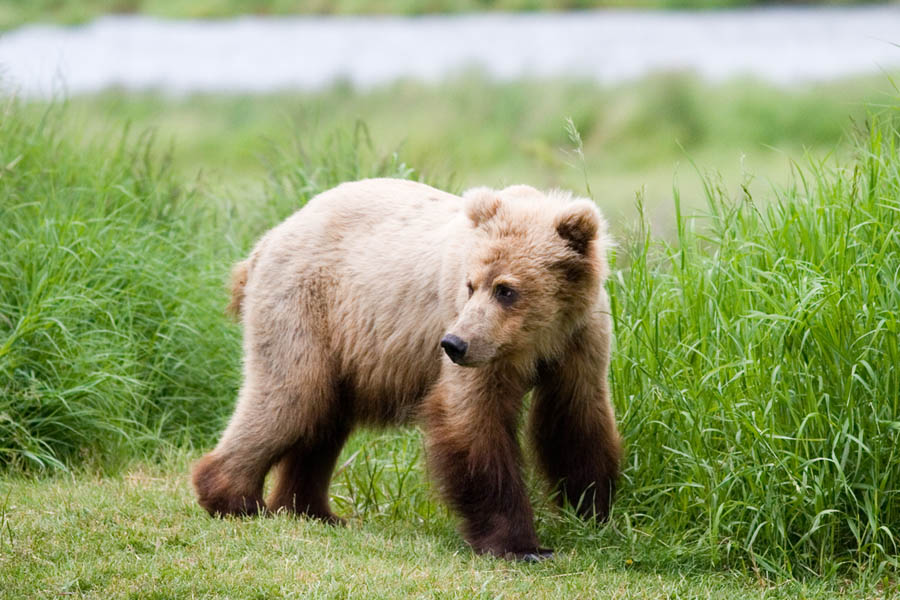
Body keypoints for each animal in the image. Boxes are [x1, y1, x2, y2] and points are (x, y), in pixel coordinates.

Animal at [192, 178, 621, 560]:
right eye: (471, 285)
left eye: (507, 290)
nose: (454, 344)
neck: (537, 338)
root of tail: (267, 239)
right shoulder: (481, 350)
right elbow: (472, 421)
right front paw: (521, 546)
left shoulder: (579, 341)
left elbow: (575, 420)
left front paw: (594, 511)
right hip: (306, 308)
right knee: (290, 398)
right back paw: (235, 499)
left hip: (342, 347)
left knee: (322, 420)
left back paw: (312, 510)